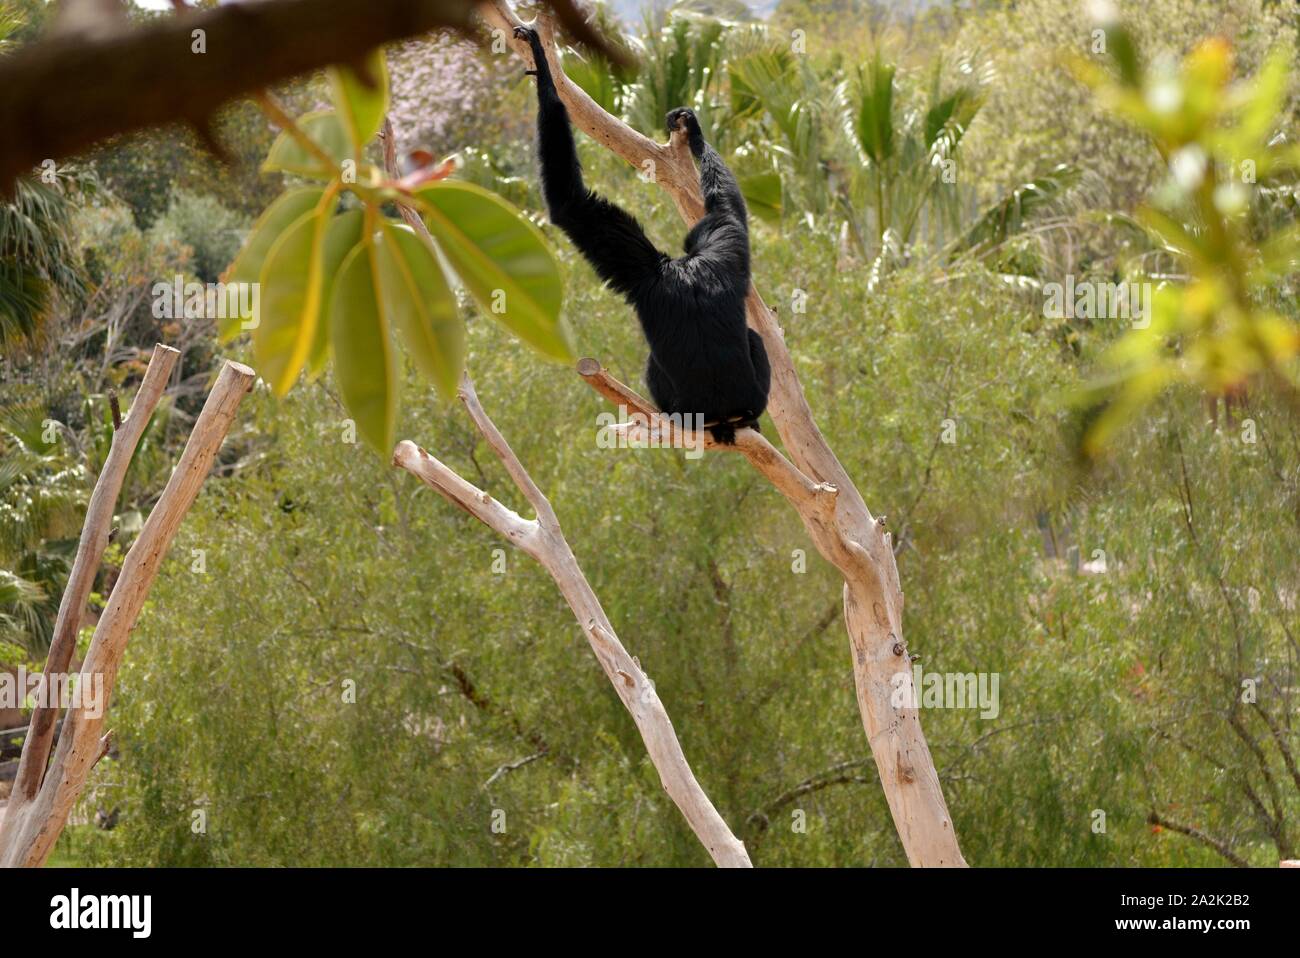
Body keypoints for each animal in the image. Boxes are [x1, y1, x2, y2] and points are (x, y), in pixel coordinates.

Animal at [514, 25, 770, 445]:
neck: (685, 268)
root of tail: (722, 416)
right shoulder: (726, 245)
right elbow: (728, 208)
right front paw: (694, 132)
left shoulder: (646, 267)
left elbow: (569, 201)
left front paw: (540, 61)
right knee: (756, 339)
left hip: (687, 405)